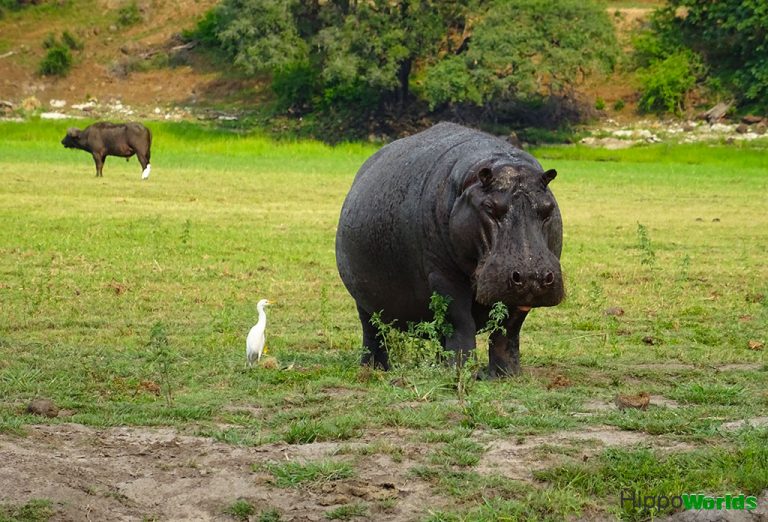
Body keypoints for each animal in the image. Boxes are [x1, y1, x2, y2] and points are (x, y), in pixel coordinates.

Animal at [335, 122, 564, 377]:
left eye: (548, 207)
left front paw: (505, 375)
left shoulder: (519, 296)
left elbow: (508, 330)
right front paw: (460, 371)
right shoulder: (443, 275)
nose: (531, 276)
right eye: (489, 207)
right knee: (372, 331)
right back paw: (375, 369)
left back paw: (438, 365)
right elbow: (460, 320)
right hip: (363, 299)